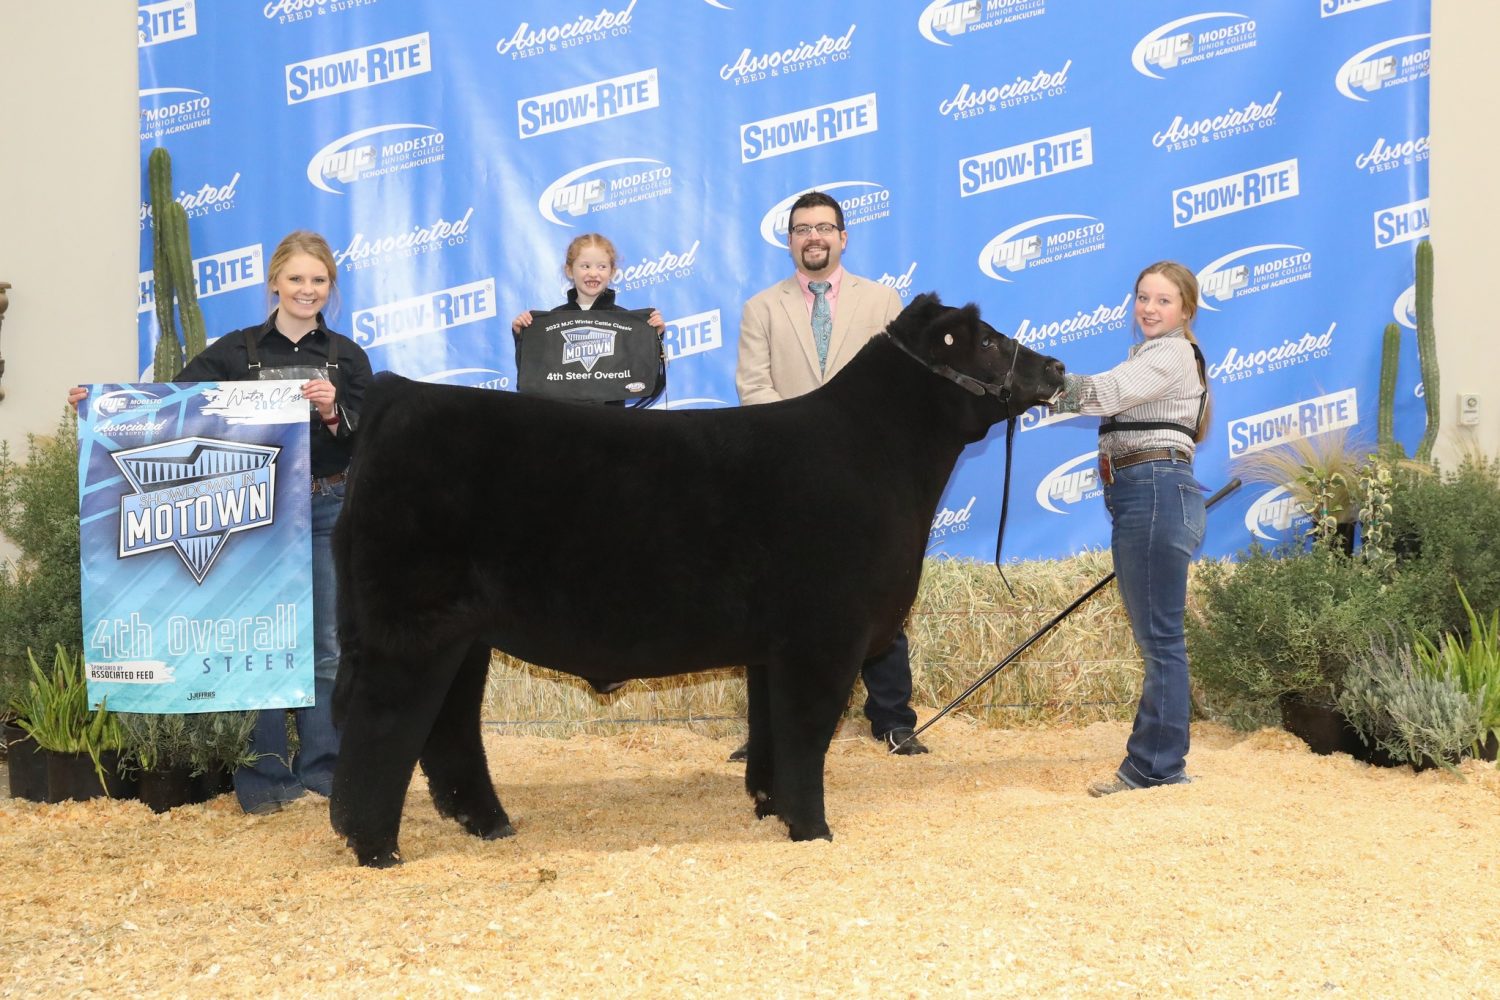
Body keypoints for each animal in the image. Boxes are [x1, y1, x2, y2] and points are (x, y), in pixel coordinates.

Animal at [329, 293, 1066, 867]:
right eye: (988, 340)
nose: (1057, 367)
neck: (878, 455)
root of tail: (401, 394)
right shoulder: (824, 637)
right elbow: (806, 734)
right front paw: (813, 830)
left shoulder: (775, 646)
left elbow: (771, 732)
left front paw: (770, 807)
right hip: (411, 629)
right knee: (380, 728)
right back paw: (375, 847)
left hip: (462, 634)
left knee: (447, 727)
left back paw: (484, 822)